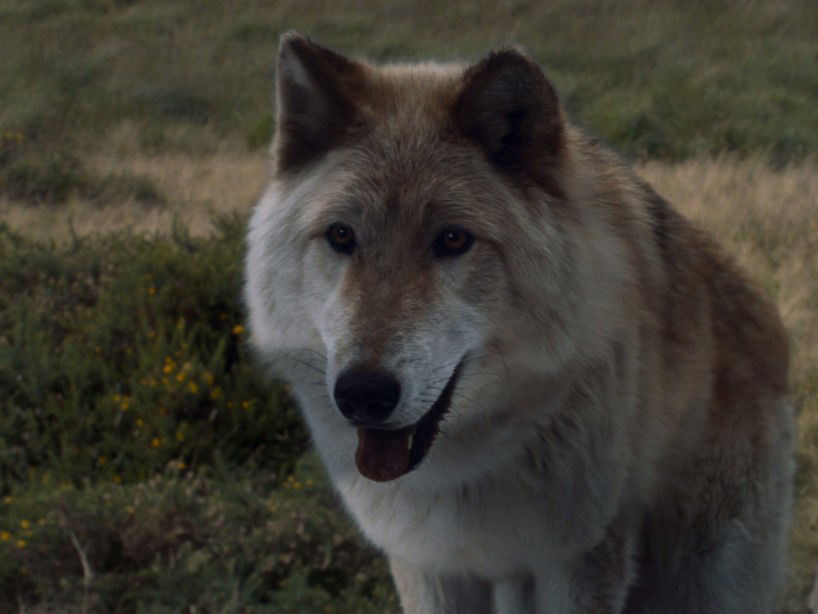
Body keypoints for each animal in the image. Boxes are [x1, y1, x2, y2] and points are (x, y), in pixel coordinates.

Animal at [244, 33, 795, 613]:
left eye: (453, 239)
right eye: (342, 236)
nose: (363, 394)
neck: (466, 469)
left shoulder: (579, 559)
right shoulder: (426, 564)